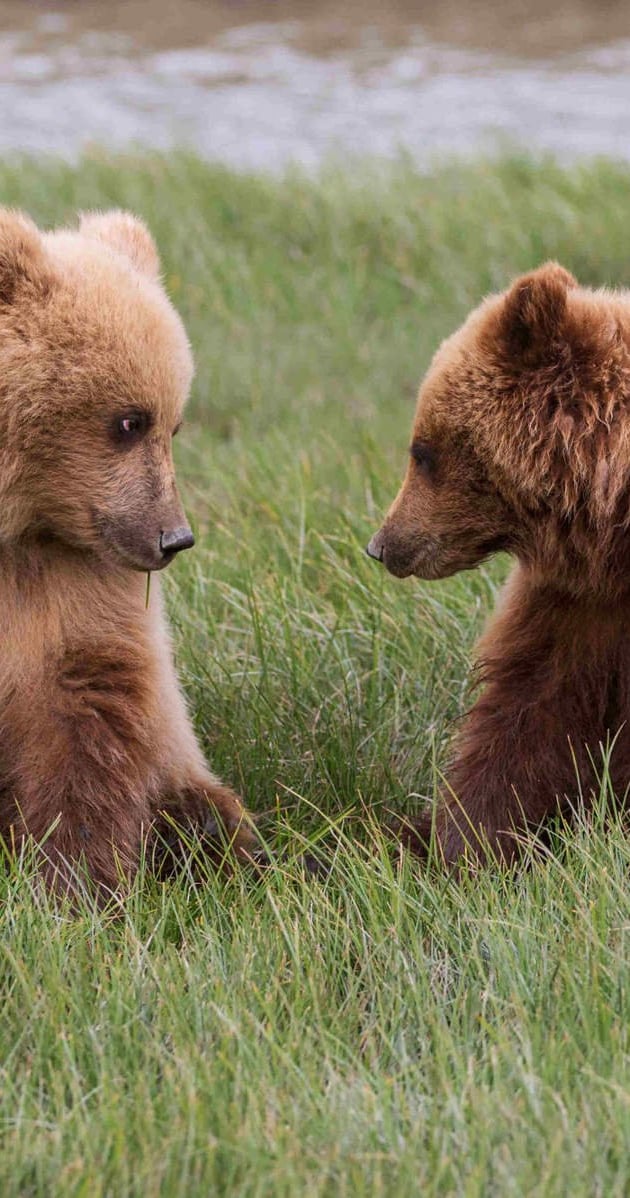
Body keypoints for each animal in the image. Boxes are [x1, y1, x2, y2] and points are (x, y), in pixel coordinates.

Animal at [0, 207, 255, 898]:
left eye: (173, 423)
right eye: (128, 421)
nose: (175, 538)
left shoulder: (76, 585)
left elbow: (87, 710)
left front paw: (73, 882)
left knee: (207, 817)